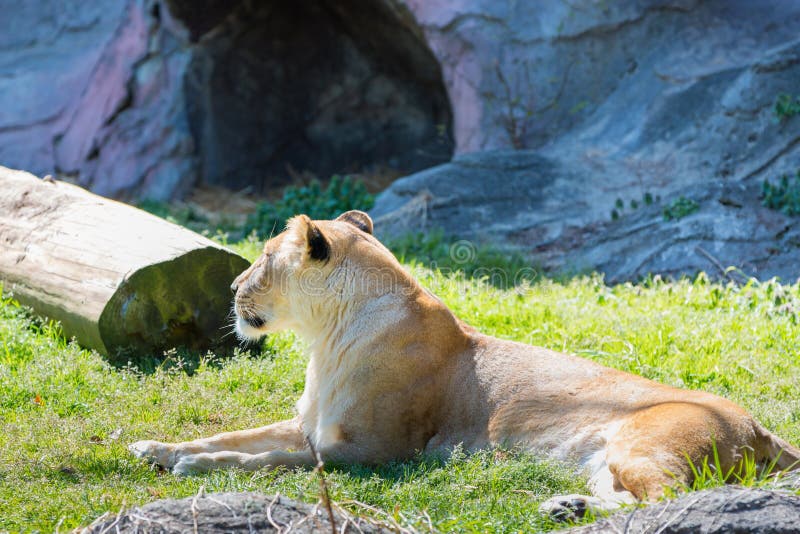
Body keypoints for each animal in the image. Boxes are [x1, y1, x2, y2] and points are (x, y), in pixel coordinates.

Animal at [130, 210, 800, 519]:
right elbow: (238, 435)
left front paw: (196, 466)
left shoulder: (374, 451)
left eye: (266, 259)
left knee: (666, 499)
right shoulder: (311, 425)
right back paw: (566, 509)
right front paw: (155, 447)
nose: (233, 286)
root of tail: (764, 429)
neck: (327, 338)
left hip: (644, 444)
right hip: (604, 464)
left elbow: (269, 460)